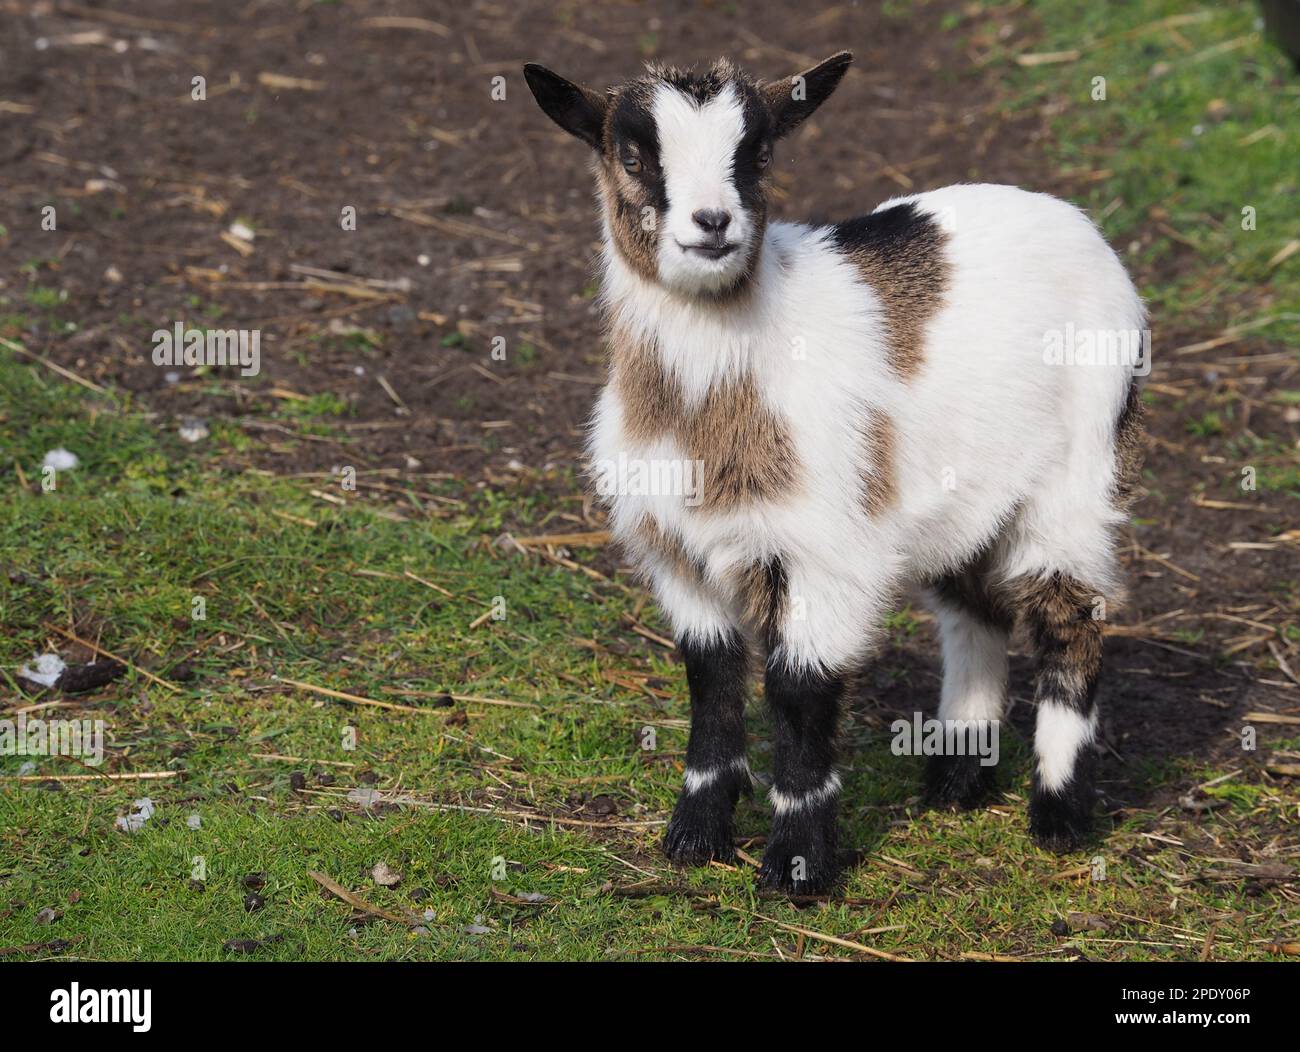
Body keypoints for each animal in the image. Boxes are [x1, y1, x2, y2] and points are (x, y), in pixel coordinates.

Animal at [524, 52, 1145, 894]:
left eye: (756, 153)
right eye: (632, 153)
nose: (713, 223)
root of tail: (1074, 221)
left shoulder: (824, 549)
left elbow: (798, 687)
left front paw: (797, 861)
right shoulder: (677, 548)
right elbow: (711, 674)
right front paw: (695, 834)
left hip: (1077, 468)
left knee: (1069, 617)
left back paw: (1058, 814)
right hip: (963, 491)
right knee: (975, 610)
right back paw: (957, 777)